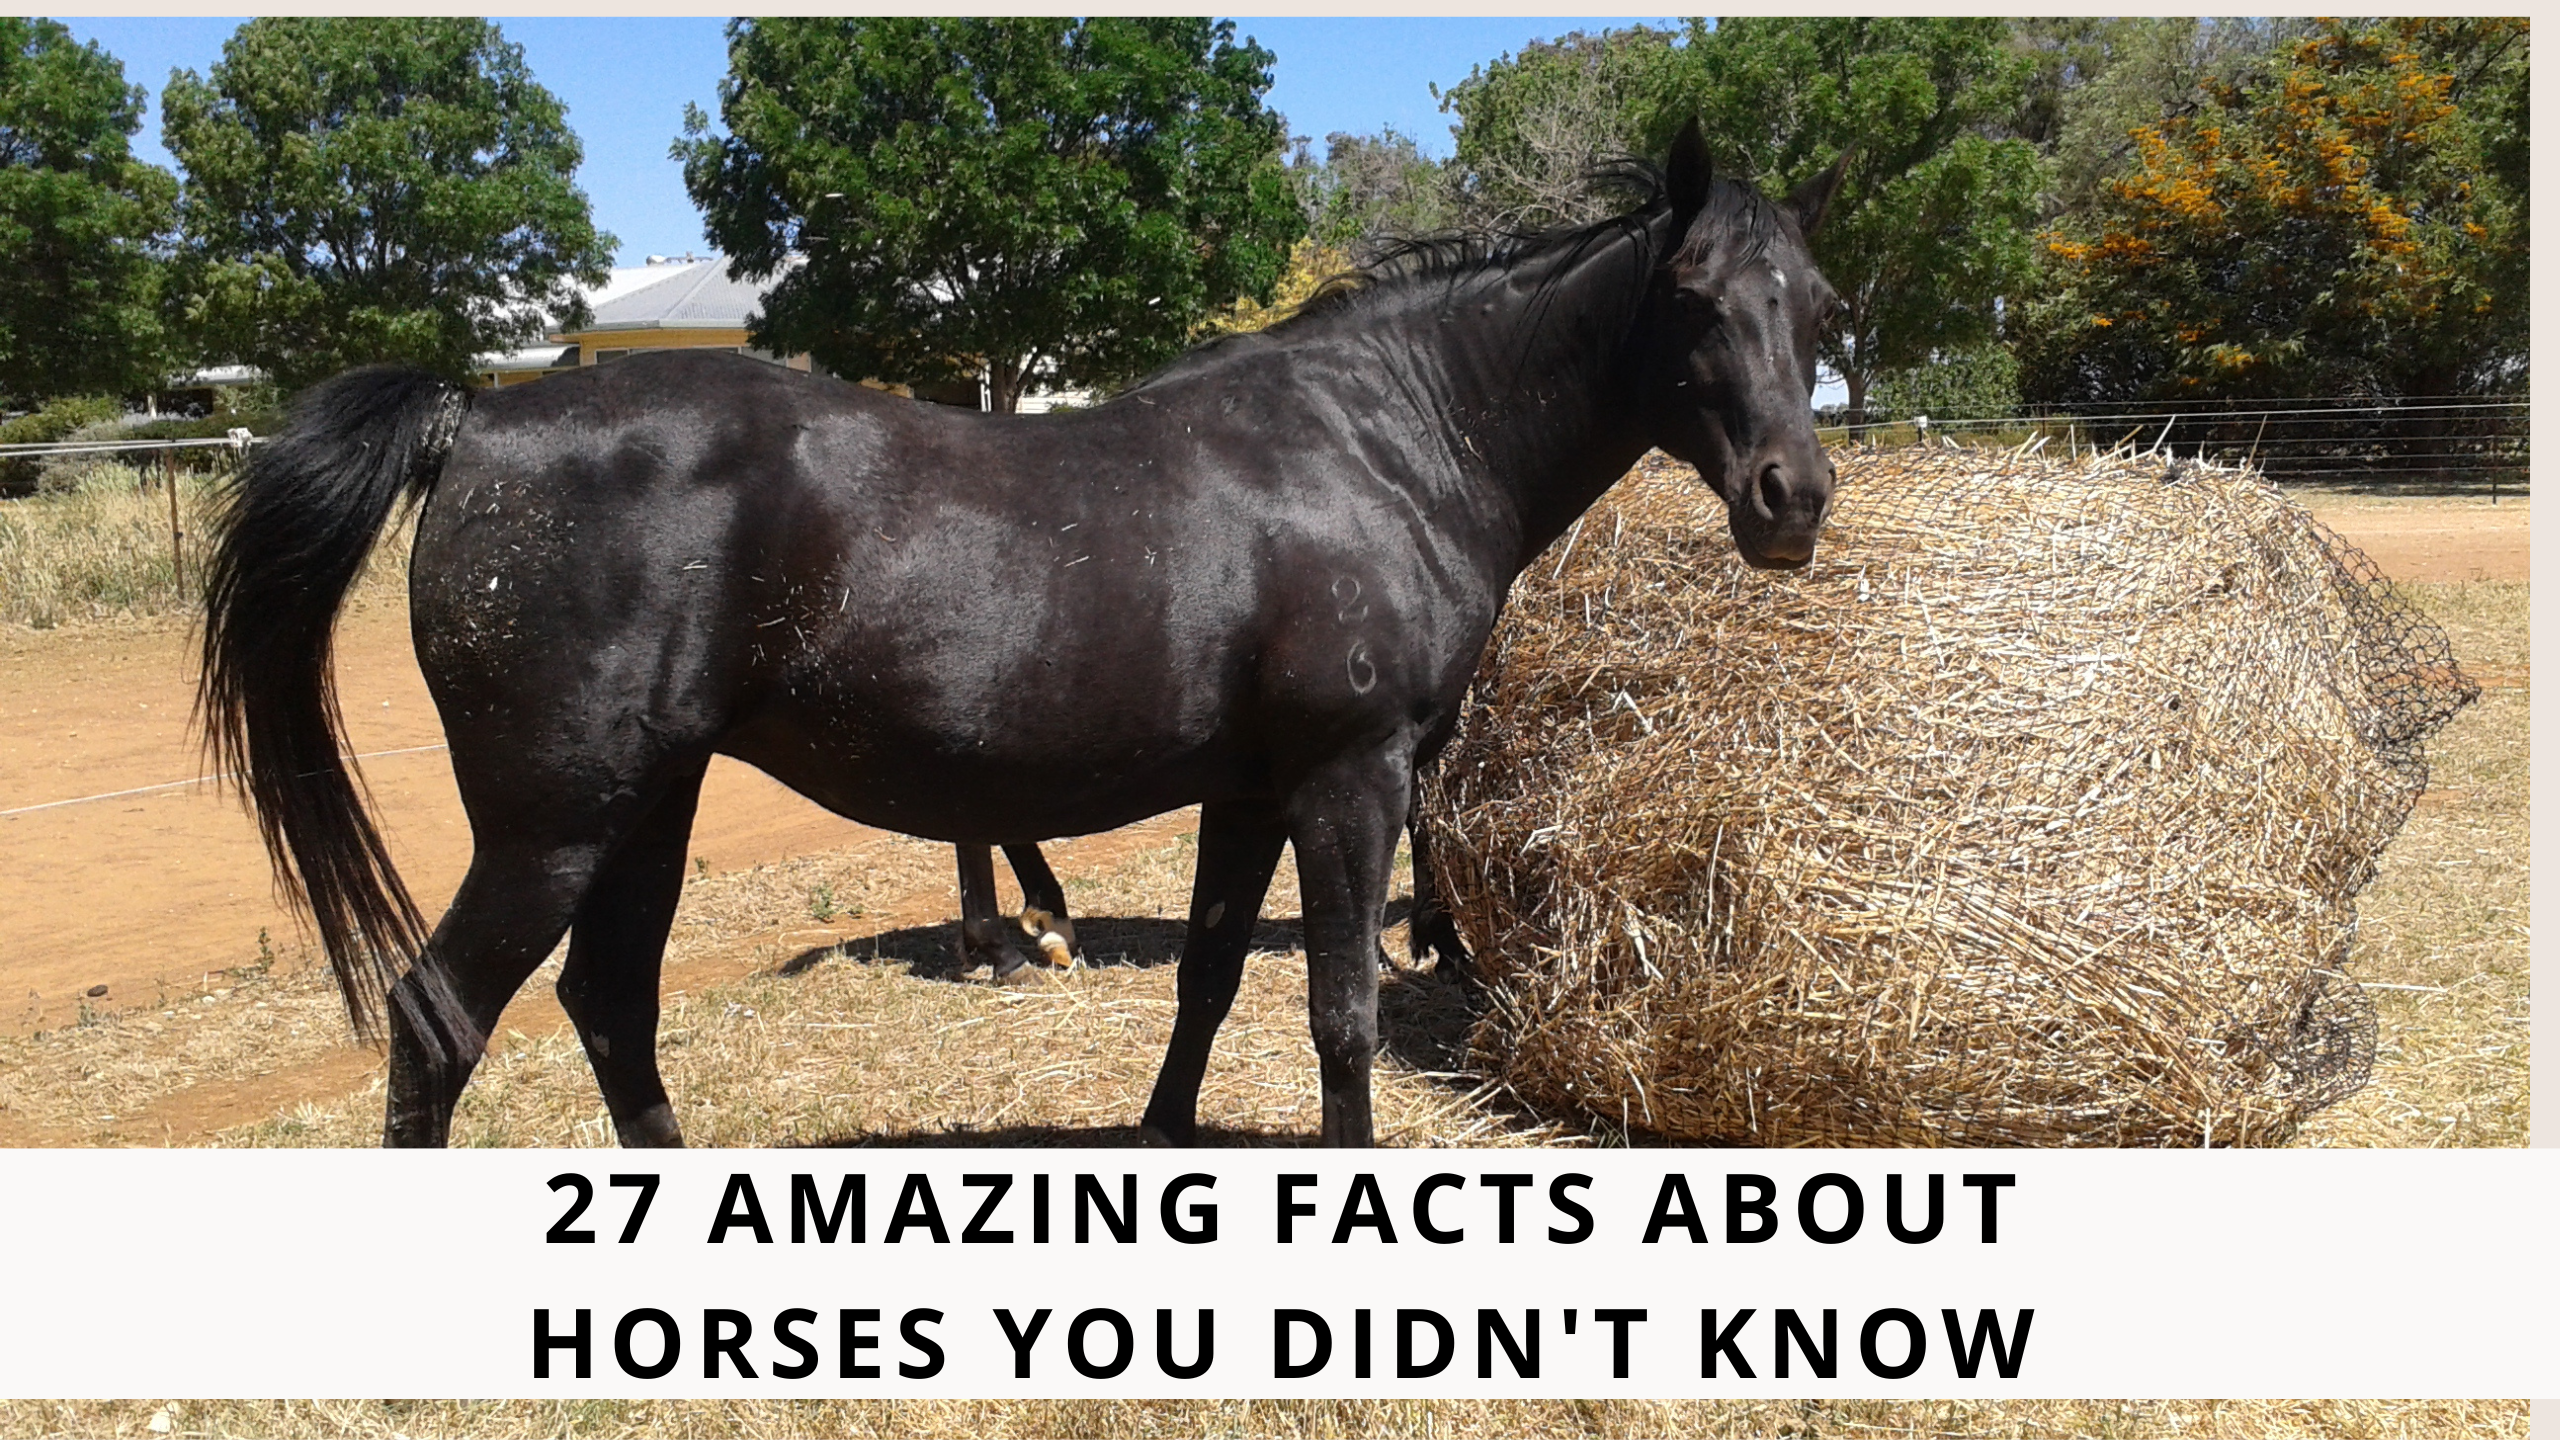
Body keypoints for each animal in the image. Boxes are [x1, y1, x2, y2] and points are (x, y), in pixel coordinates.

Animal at [198, 121, 1845, 1148]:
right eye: (1691, 293)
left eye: (1816, 301)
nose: (1794, 498)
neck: (1382, 438)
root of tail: (477, 421)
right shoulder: (1350, 778)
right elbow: (1340, 1012)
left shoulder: (1251, 789)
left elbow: (1207, 974)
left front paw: (1164, 1137)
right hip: (551, 821)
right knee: (439, 1021)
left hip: (643, 806)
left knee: (610, 1007)